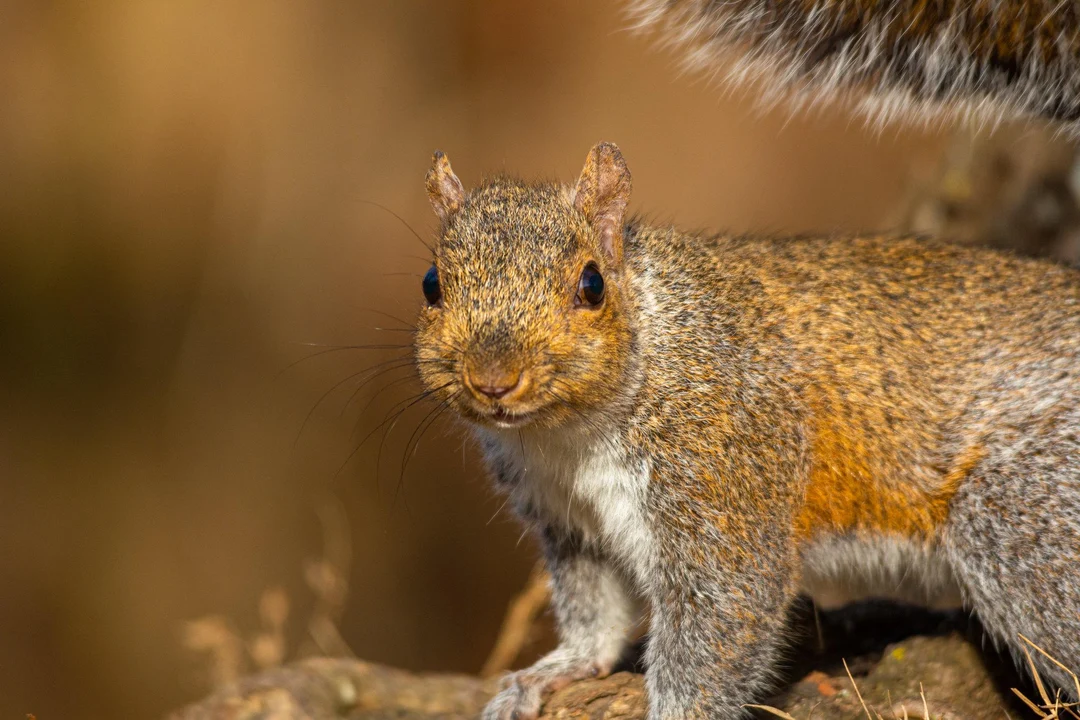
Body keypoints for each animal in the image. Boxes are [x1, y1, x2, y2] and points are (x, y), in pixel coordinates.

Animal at [413, 142, 1080, 718]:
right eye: (431, 283)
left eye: (592, 284)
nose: (493, 381)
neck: (568, 436)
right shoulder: (572, 525)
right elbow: (595, 617)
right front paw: (554, 671)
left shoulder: (723, 473)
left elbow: (726, 613)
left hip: (1027, 522)